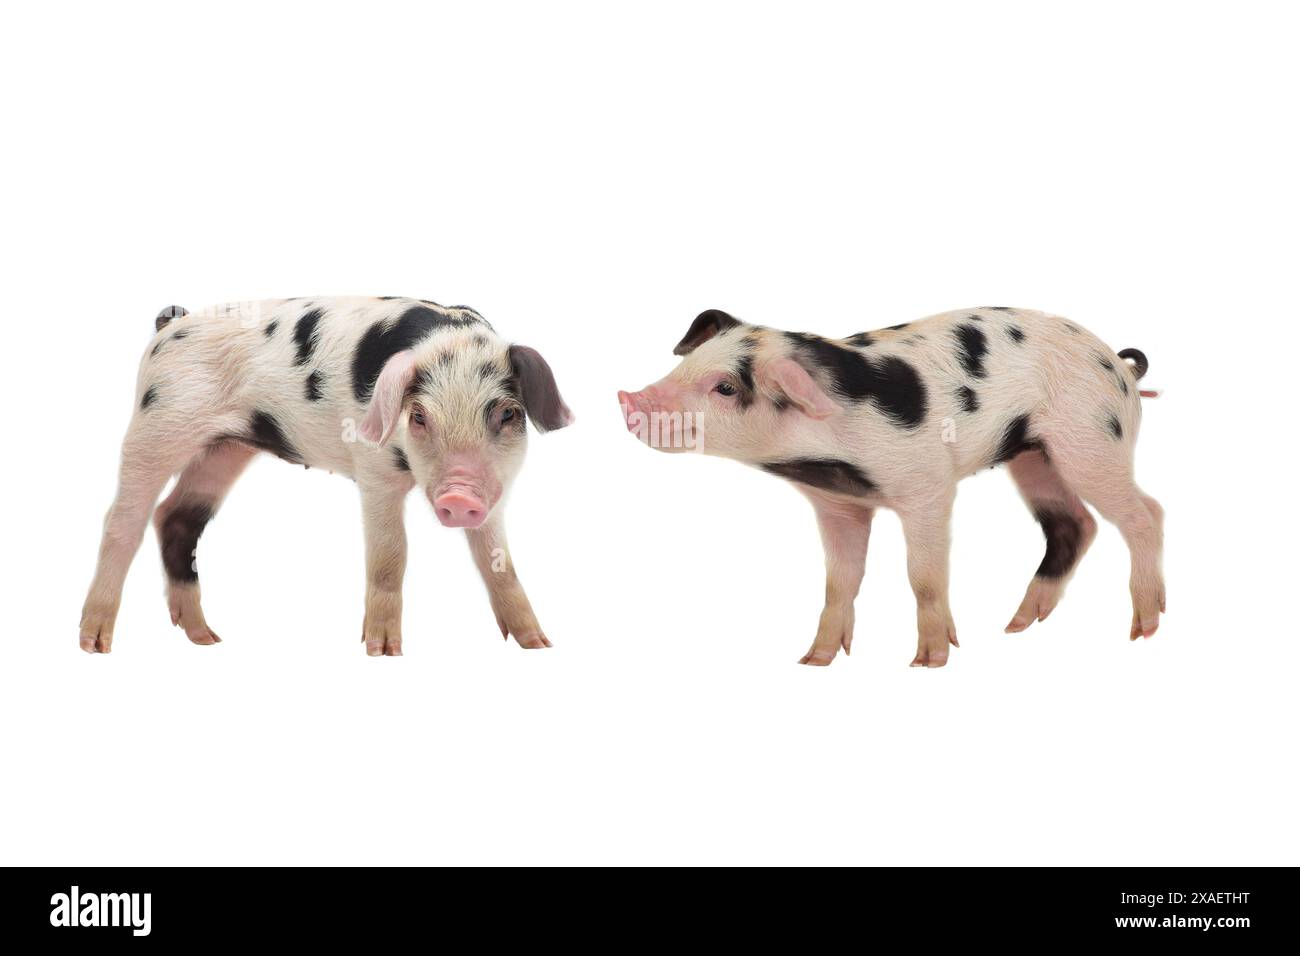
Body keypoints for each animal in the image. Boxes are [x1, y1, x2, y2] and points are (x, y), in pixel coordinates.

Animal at [80, 296, 573, 656]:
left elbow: (499, 564)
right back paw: (96, 643)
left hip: (225, 450)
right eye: (418, 416)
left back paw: (206, 639)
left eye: (508, 414)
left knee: (176, 517)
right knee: (122, 521)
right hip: (156, 425)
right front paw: (384, 652)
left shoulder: (496, 493)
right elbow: (390, 556)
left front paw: (538, 645)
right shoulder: (373, 471)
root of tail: (168, 325)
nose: (459, 497)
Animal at [619, 307, 1164, 667]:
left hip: (1090, 441)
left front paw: (929, 661)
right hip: (1034, 457)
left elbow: (923, 577)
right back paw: (1016, 626)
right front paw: (814, 660)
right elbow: (840, 581)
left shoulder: (927, 487)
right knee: (1076, 524)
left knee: (1146, 513)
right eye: (684, 364)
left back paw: (1144, 629)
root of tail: (1118, 365)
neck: (821, 460)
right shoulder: (838, 505)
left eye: (725, 388)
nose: (628, 398)